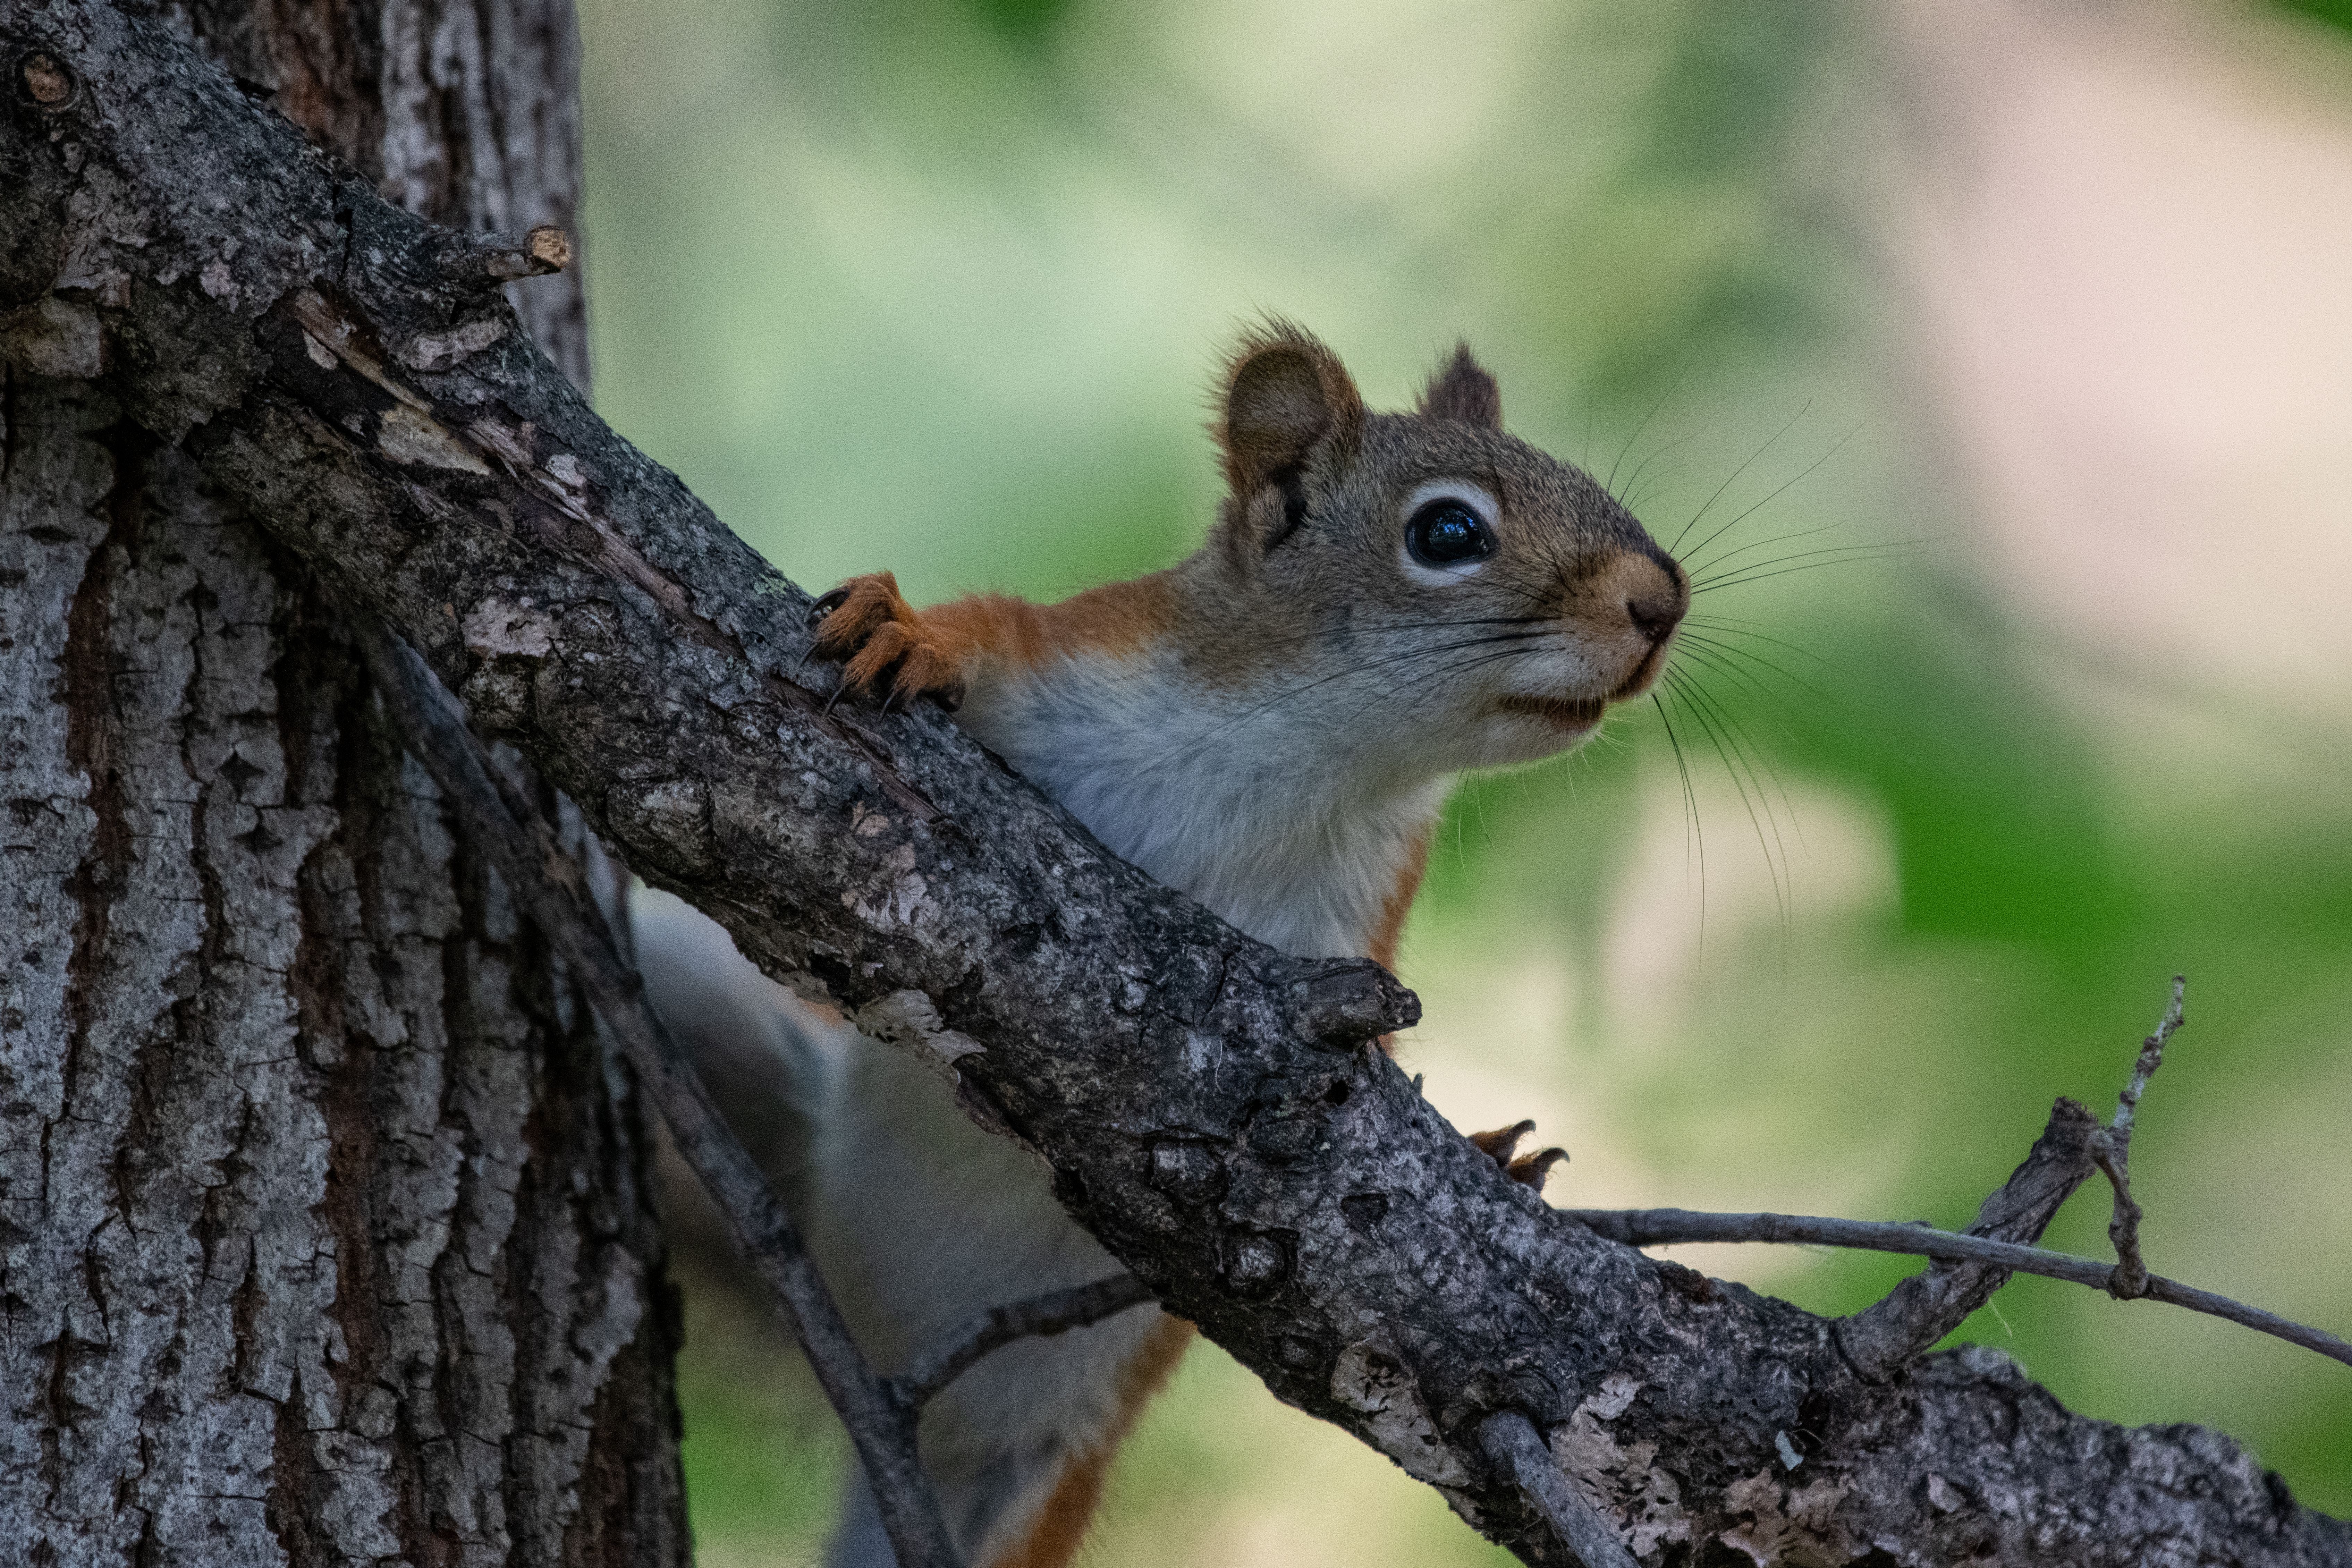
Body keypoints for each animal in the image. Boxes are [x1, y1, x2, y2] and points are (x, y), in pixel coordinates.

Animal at [634, 320, 1686, 1568]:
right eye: (1446, 532)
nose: (1661, 599)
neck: (1306, 749)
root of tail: (886, 1376)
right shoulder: (1076, 653)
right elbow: (988, 630)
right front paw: (907, 629)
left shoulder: (1354, 916)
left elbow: (1369, 1055)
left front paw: (1487, 1150)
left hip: (1032, 1478)